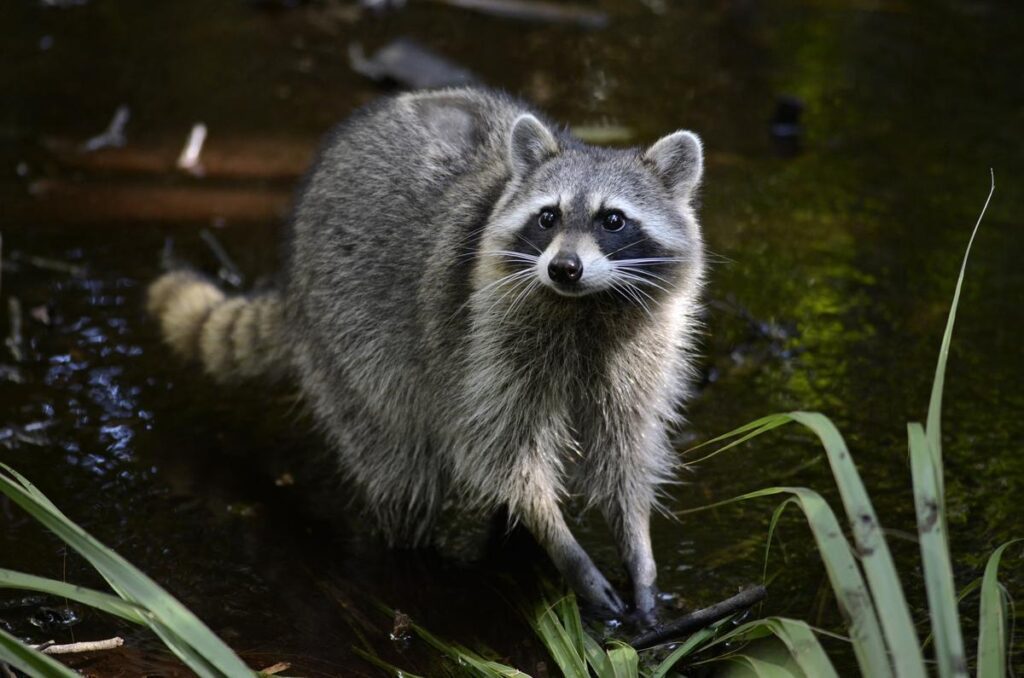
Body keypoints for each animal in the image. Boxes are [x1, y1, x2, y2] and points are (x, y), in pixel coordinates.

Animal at [147, 87, 705, 619]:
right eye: (548, 217)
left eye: (613, 220)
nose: (564, 268)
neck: (585, 305)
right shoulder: (483, 339)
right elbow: (499, 450)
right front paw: (563, 543)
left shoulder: (639, 350)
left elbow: (625, 449)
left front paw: (637, 545)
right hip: (349, 340)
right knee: (401, 464)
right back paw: (410, 559)